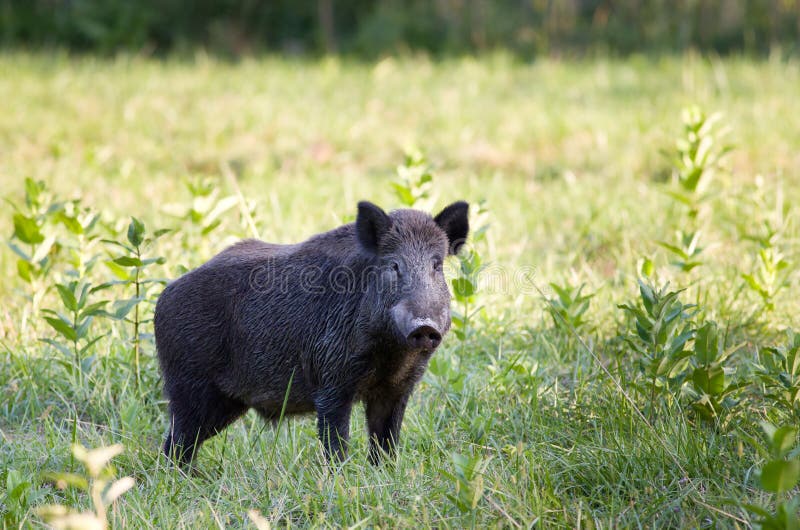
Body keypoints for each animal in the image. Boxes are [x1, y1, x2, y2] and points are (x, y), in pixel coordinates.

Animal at [154, 200, 469, 465]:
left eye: (436, 265)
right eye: (393, 265)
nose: (425, 326)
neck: (390, 352)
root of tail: (163, 297)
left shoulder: (398, 389)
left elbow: (386, 443)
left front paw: (385, 473)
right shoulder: (332, 380)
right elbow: (336, 442)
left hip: (226, 402)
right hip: (188, 385)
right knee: (176, 443)